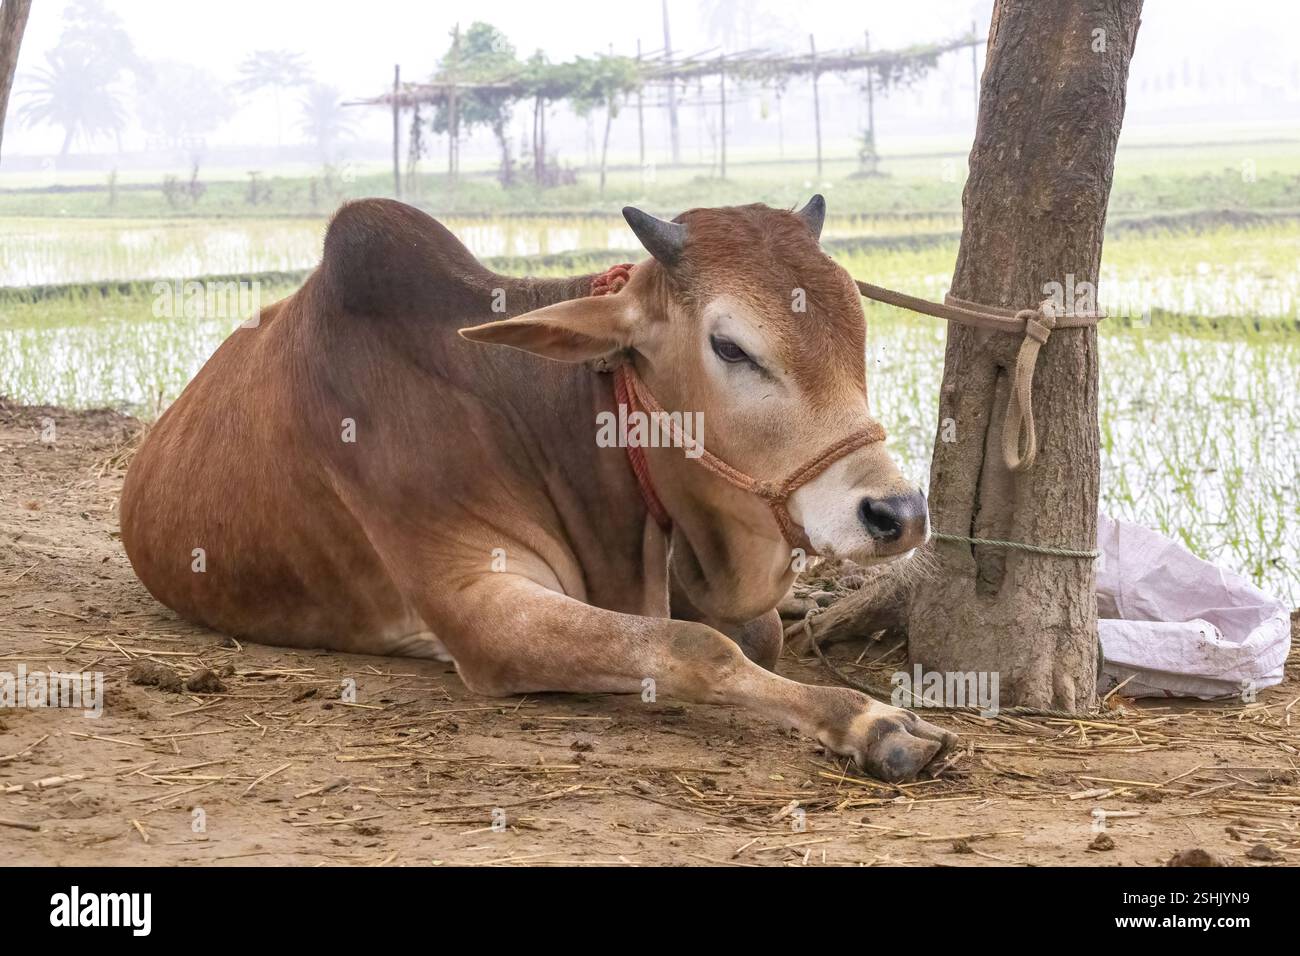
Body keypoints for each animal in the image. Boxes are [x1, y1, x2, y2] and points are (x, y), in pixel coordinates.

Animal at [119, 196, 957, 782]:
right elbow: (697, 646)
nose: (898, 512)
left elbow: (753, 634)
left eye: (859, 331)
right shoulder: (479, 608)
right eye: (729, 346)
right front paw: (875, 722)